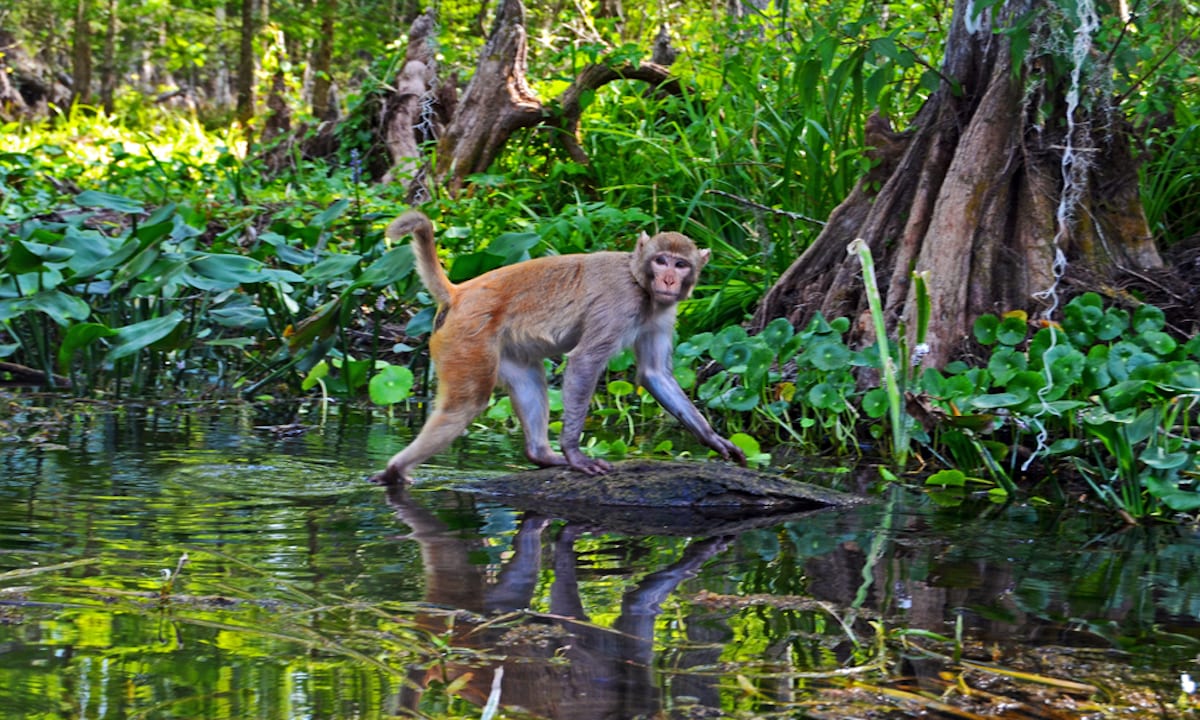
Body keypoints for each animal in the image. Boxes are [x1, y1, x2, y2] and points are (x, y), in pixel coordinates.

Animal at [370, 210, 747, 484]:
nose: (668, 280)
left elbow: (655, 375)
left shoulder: (663, 314)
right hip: (466, 340)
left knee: (527, 380)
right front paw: (574, 454)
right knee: (465, 405)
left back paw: (541, 455)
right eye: (661, 260)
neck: (640, 283)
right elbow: (584, 361)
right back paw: (395, 470)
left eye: (680, 264)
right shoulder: (620, 303)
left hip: (501, 348)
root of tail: (459, 292)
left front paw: (715, 440)